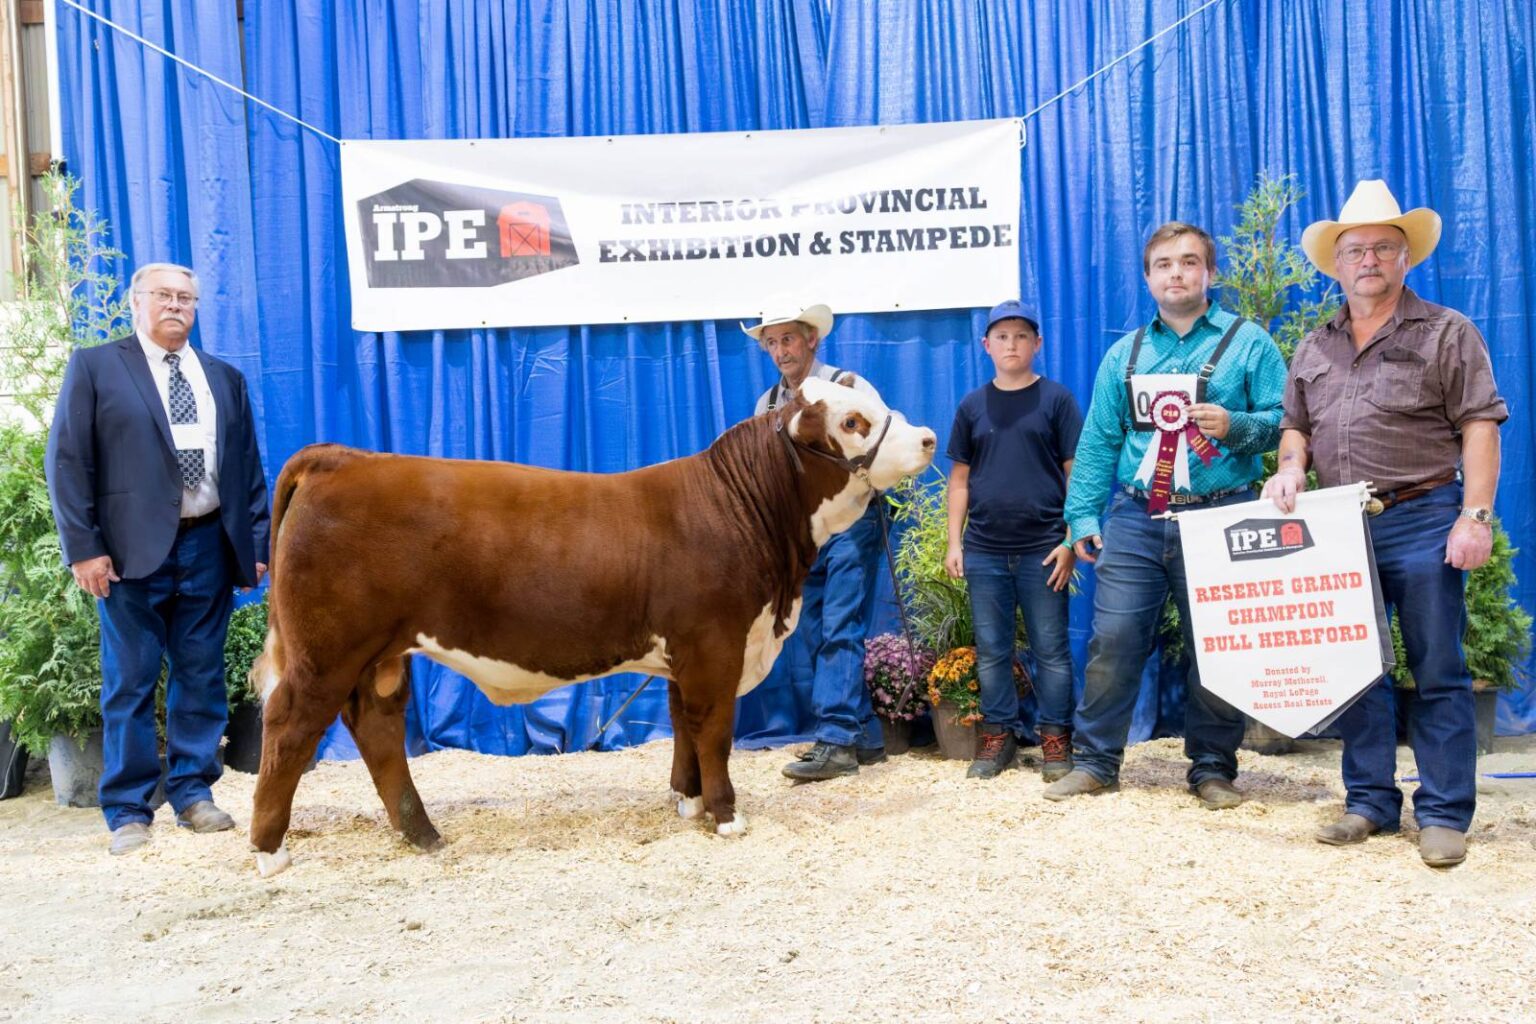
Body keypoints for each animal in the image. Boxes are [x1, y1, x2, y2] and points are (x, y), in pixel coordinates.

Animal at [247, 378, 936, 876]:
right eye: (853, 422)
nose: (929, 436)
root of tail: (342, 458)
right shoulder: (714, 645)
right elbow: (714, 731)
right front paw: (725, 815)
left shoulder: (682, 654)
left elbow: (685, 727)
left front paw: (686, 802)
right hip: (327, 651)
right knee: (289, 727)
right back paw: (269, 851)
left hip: (379, 655)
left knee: (378, 729)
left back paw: (423, 834)